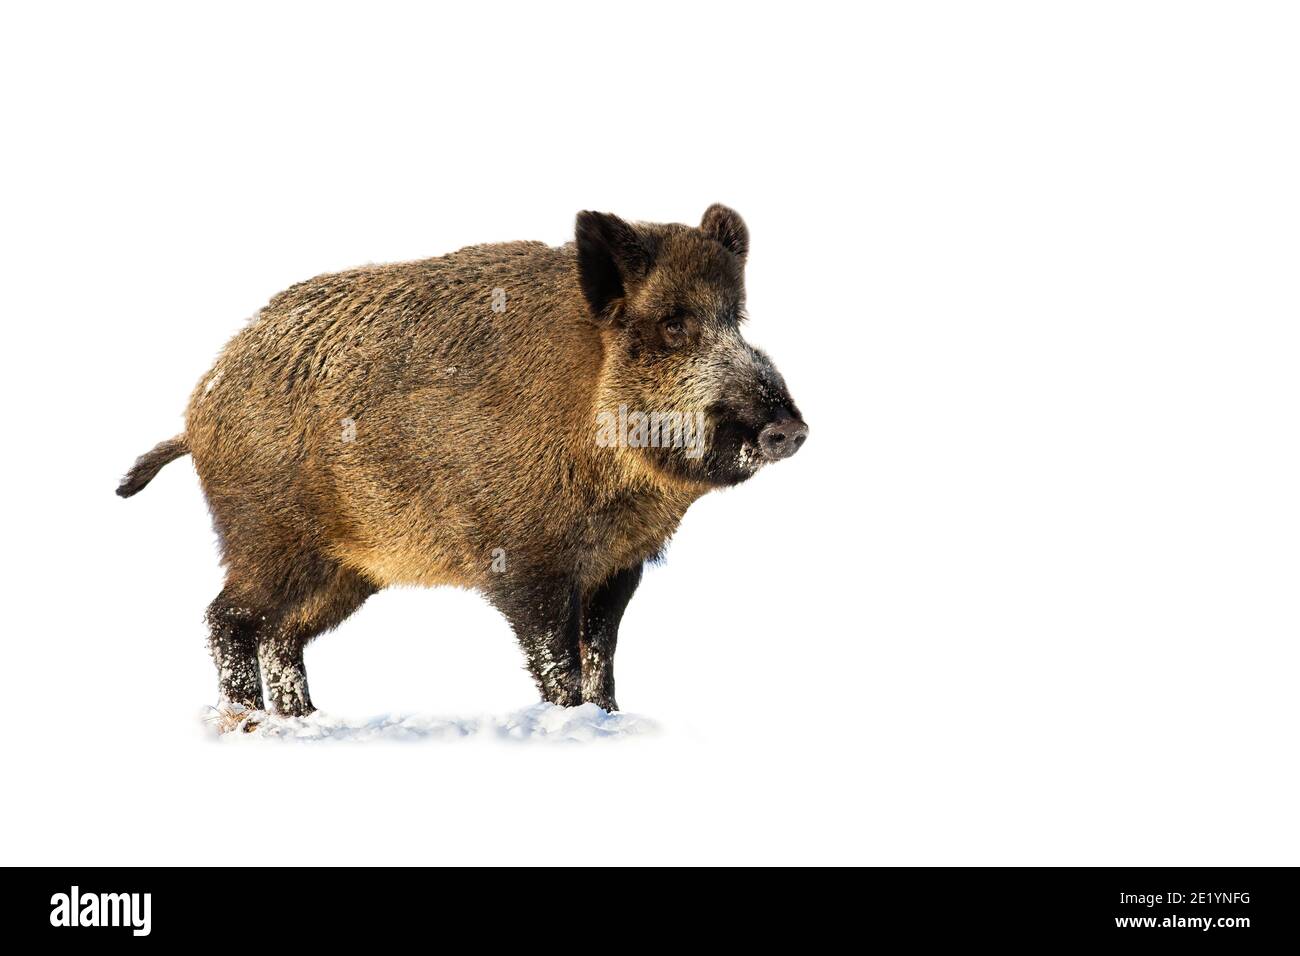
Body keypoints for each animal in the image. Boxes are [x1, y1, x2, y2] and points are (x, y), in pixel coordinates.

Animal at [118, 205, 807, 718]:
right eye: (673, 324)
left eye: (737, 318)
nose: (792, 430)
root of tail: (196, 412)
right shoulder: (530, 561)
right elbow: (559, 659)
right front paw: (570, 721)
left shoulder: (619, 567)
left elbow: (601, 655)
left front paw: (608, 720)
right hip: (270, 539)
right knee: (227, 619)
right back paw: (252, 722)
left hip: (345, 572)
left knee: (280, 636)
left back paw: (306, 718)